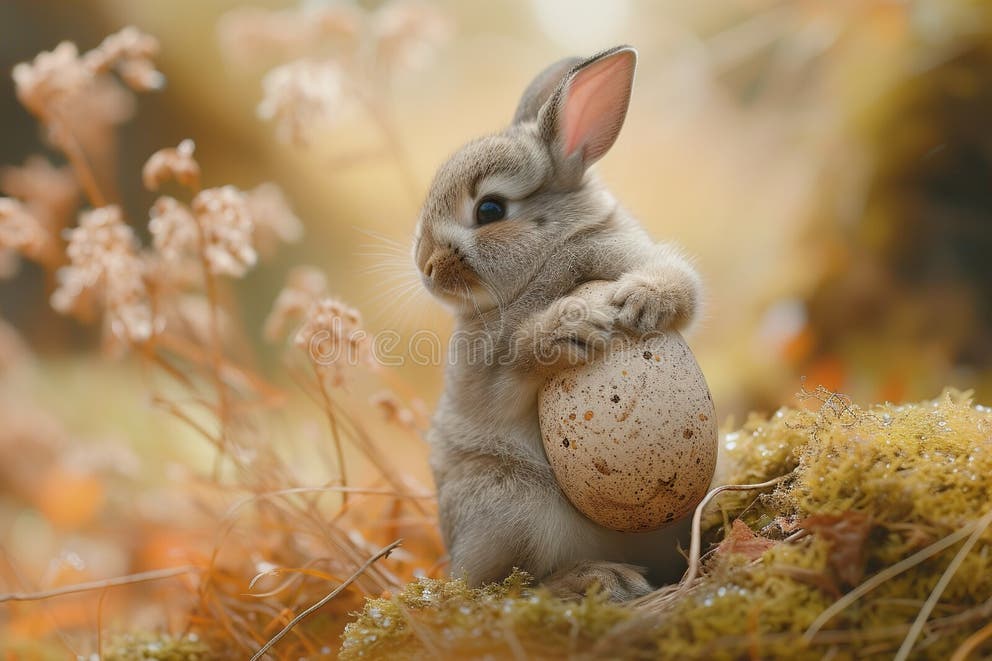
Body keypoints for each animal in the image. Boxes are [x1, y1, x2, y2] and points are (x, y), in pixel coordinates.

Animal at [413, 45, 703, 601]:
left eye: (489, 209)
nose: (426, 267)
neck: (551, 254)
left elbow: (680, 288)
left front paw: (640, 302)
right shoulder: (480, 368)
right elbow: (504, 379)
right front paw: (568, 329)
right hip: (518, 507)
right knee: (507, 588)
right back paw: (599, 578)